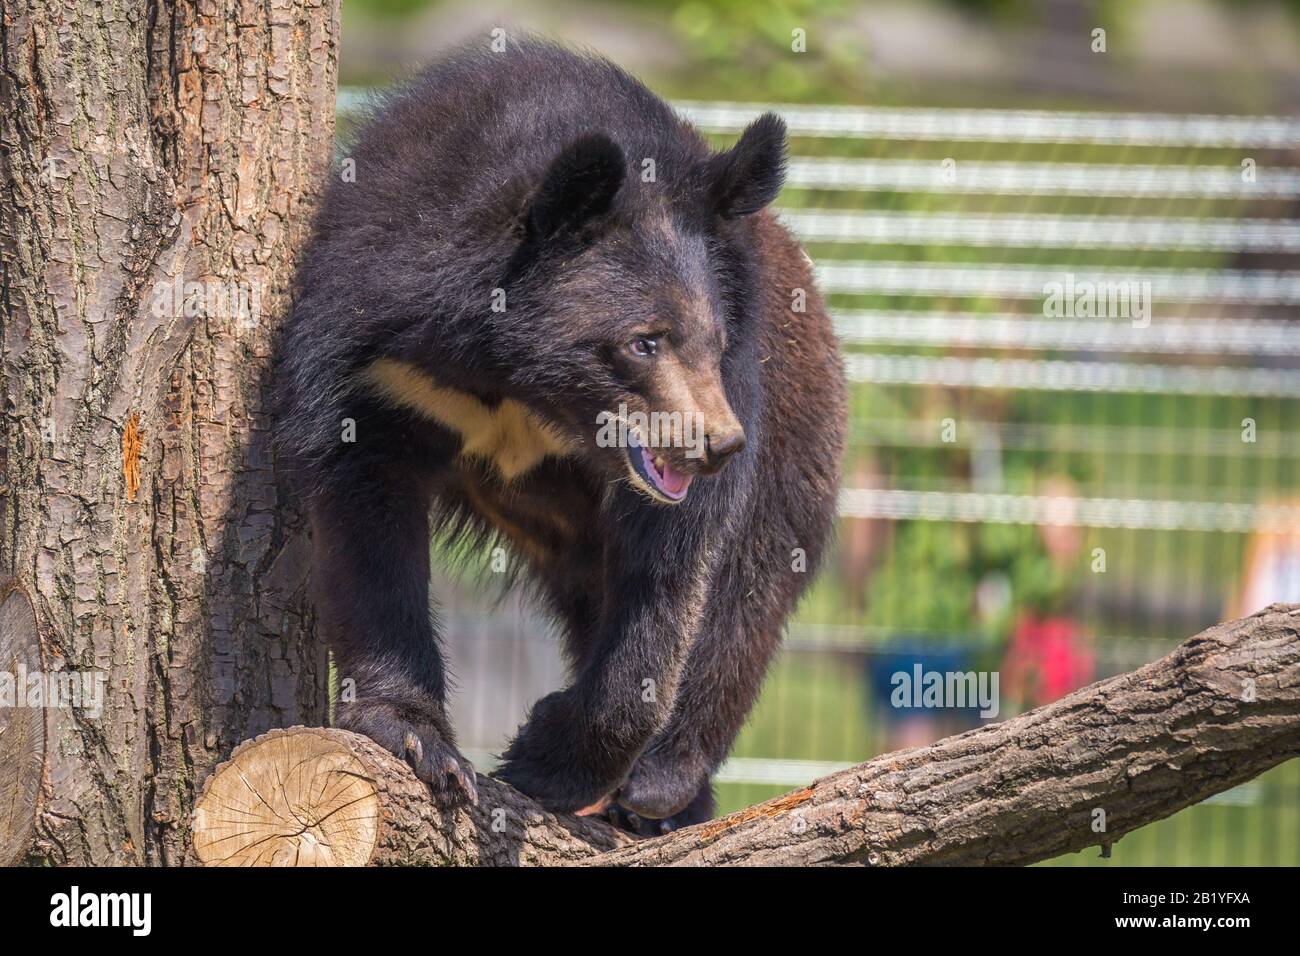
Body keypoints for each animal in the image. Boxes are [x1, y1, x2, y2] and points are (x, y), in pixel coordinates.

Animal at [276, 37, 846, 832]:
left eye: (716, 338)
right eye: (643, 342)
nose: (716, 444)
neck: (523, 381)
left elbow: (671, 579)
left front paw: (542, 758)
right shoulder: (384, 363)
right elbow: (367, 522)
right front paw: (422, 743)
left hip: (799, 439)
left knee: (746, 596)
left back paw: (663, 791)